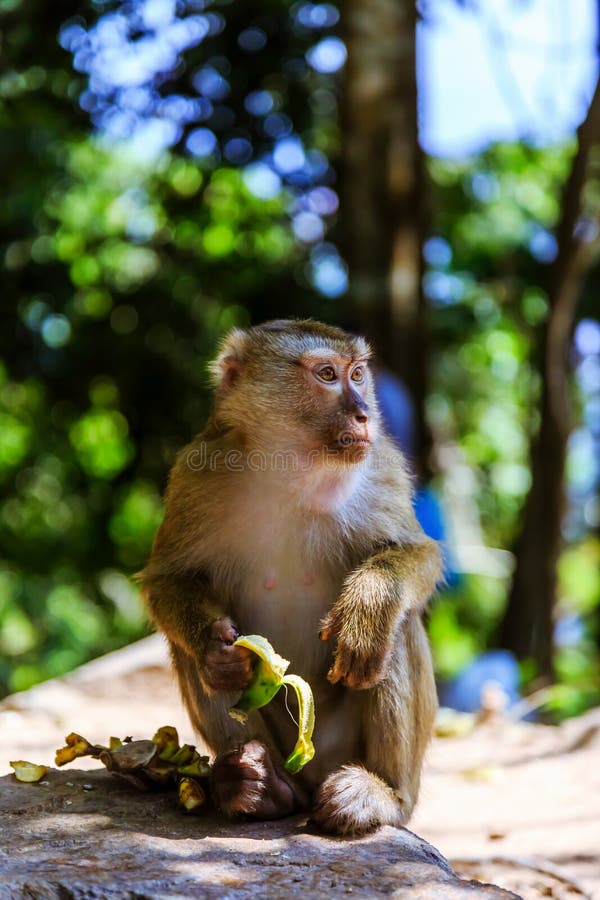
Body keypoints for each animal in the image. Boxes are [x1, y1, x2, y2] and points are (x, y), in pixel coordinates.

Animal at [141, 319, 442, 835]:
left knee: (394, 632)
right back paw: (258, 786)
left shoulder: (381, 467)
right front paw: (215, 651)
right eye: (326, 375)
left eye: (357, 374)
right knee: (190, 656)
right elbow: (169, 579)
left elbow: (420, 556)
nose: (364, 414)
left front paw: (369, 604)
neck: (292, 474)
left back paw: (381, 793)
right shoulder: (195, 474)